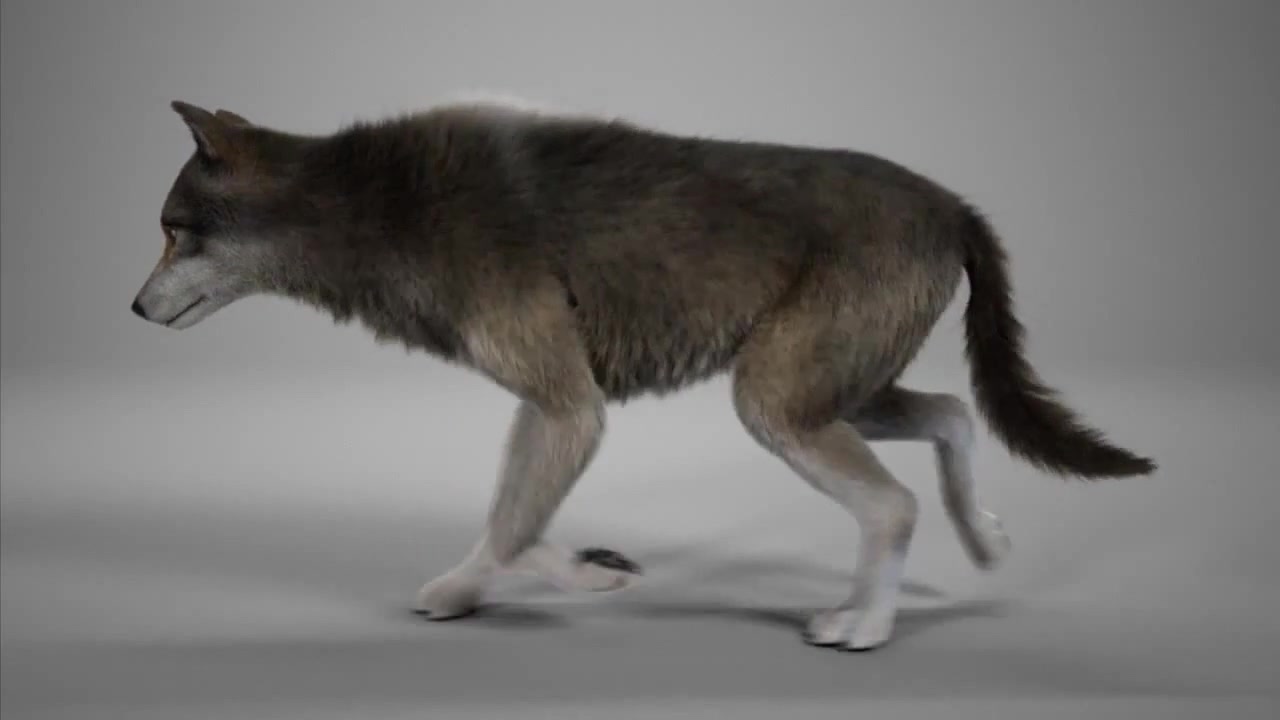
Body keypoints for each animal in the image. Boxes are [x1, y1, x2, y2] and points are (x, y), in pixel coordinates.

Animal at [131, 99, 1155, 651]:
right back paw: (983, 540)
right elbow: (508, 519)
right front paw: (501, 585)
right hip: (834, 393)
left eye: (175, 231)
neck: (375, 203)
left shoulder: (570, 407)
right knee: (952, 412)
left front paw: (568, 580)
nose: (134, 310)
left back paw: (862, 625)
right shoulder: (548, 404)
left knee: (894, 502)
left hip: (775, 401)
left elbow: (514, 528)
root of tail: (956, 205)